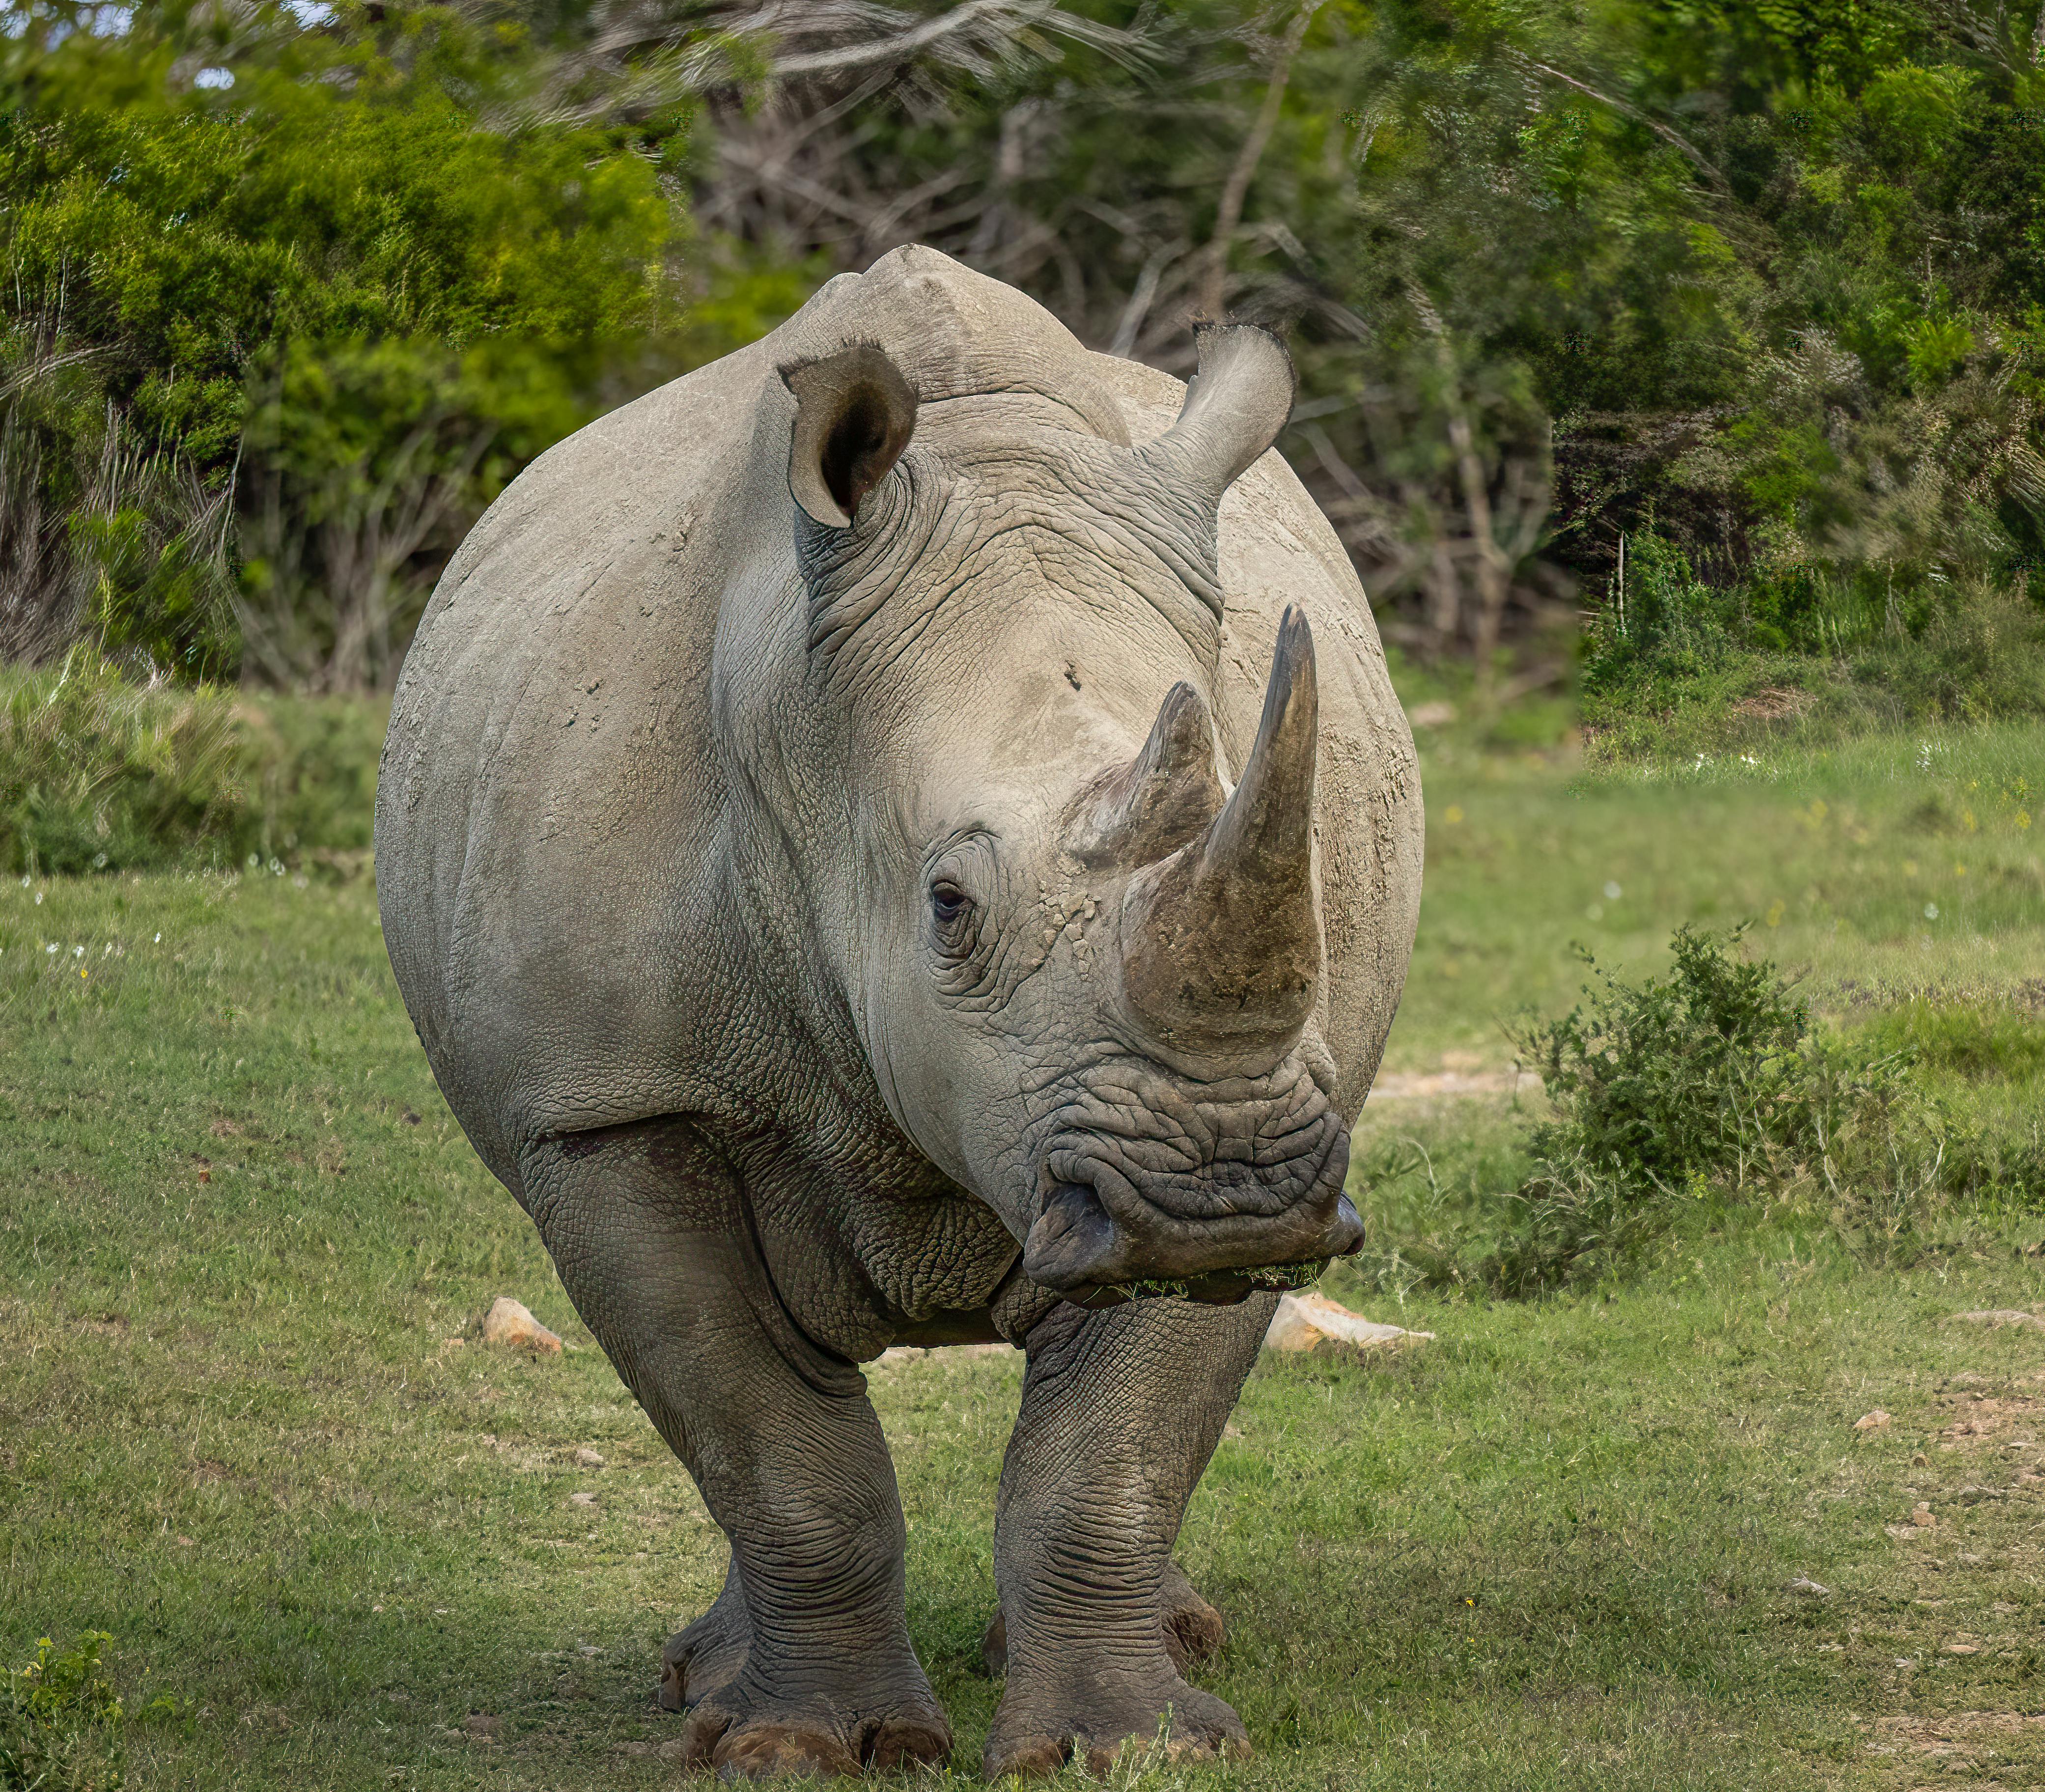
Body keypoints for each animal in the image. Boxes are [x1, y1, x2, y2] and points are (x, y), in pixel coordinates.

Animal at [375, 244, 1422, 1778]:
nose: (1219, 1195)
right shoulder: (611, 1102)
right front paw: (806, 1748)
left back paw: (1174, 1640)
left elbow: (1114, 1453)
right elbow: (767, 1443)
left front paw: (1127, 1747)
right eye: (948, 907)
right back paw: (705, 1685)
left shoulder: (1283, 1103)